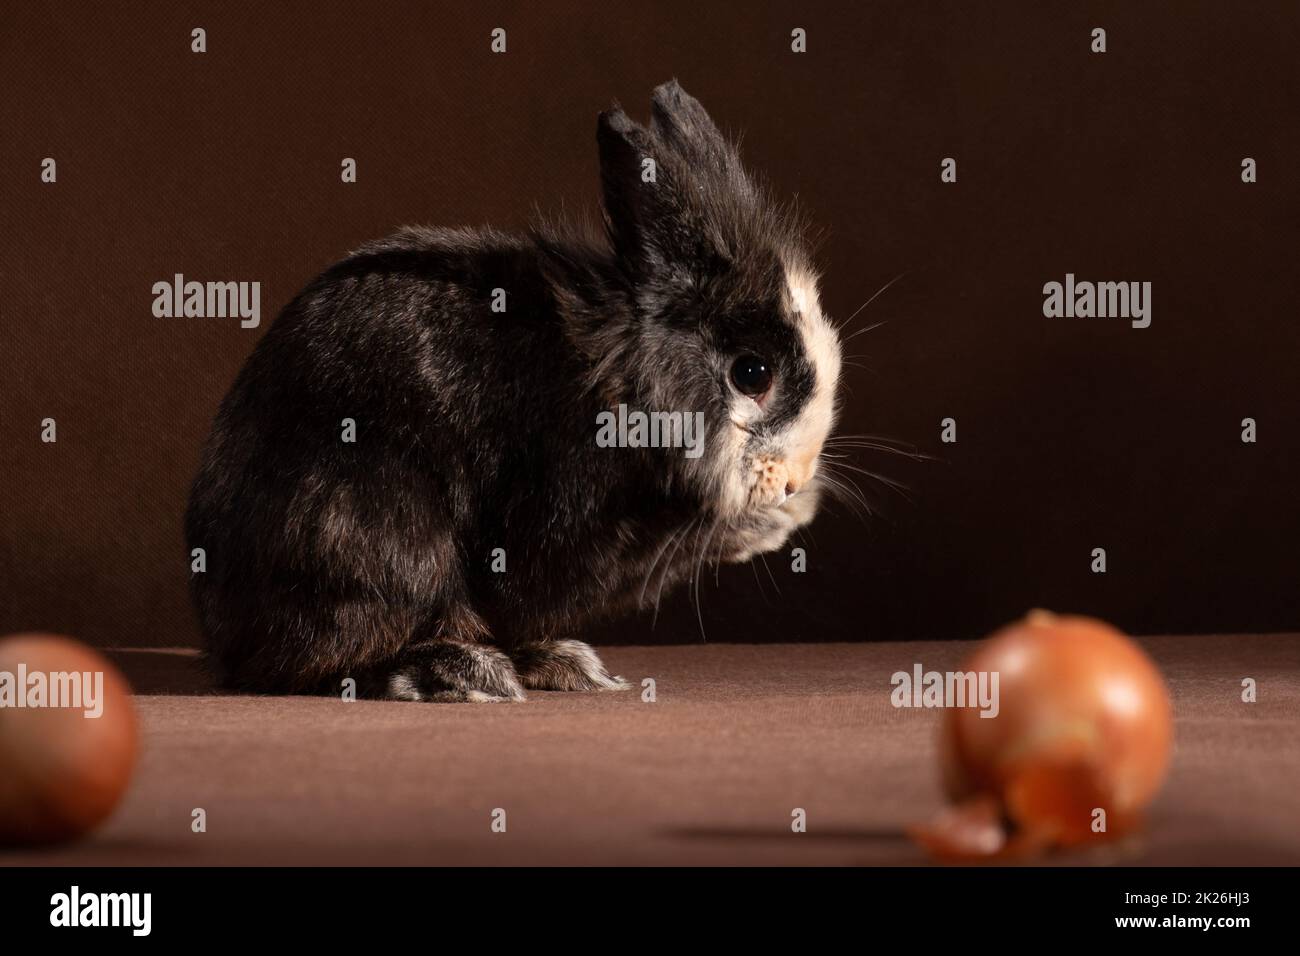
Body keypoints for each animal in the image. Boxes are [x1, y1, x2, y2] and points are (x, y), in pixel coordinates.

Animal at [184, 80, 843, 701]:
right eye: (752, 374)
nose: (796, 481)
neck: (616, 389)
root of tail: (222, 634)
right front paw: (773, 519)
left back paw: (561, 664)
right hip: (379, 540)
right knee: (318, 663)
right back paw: (454, 673)